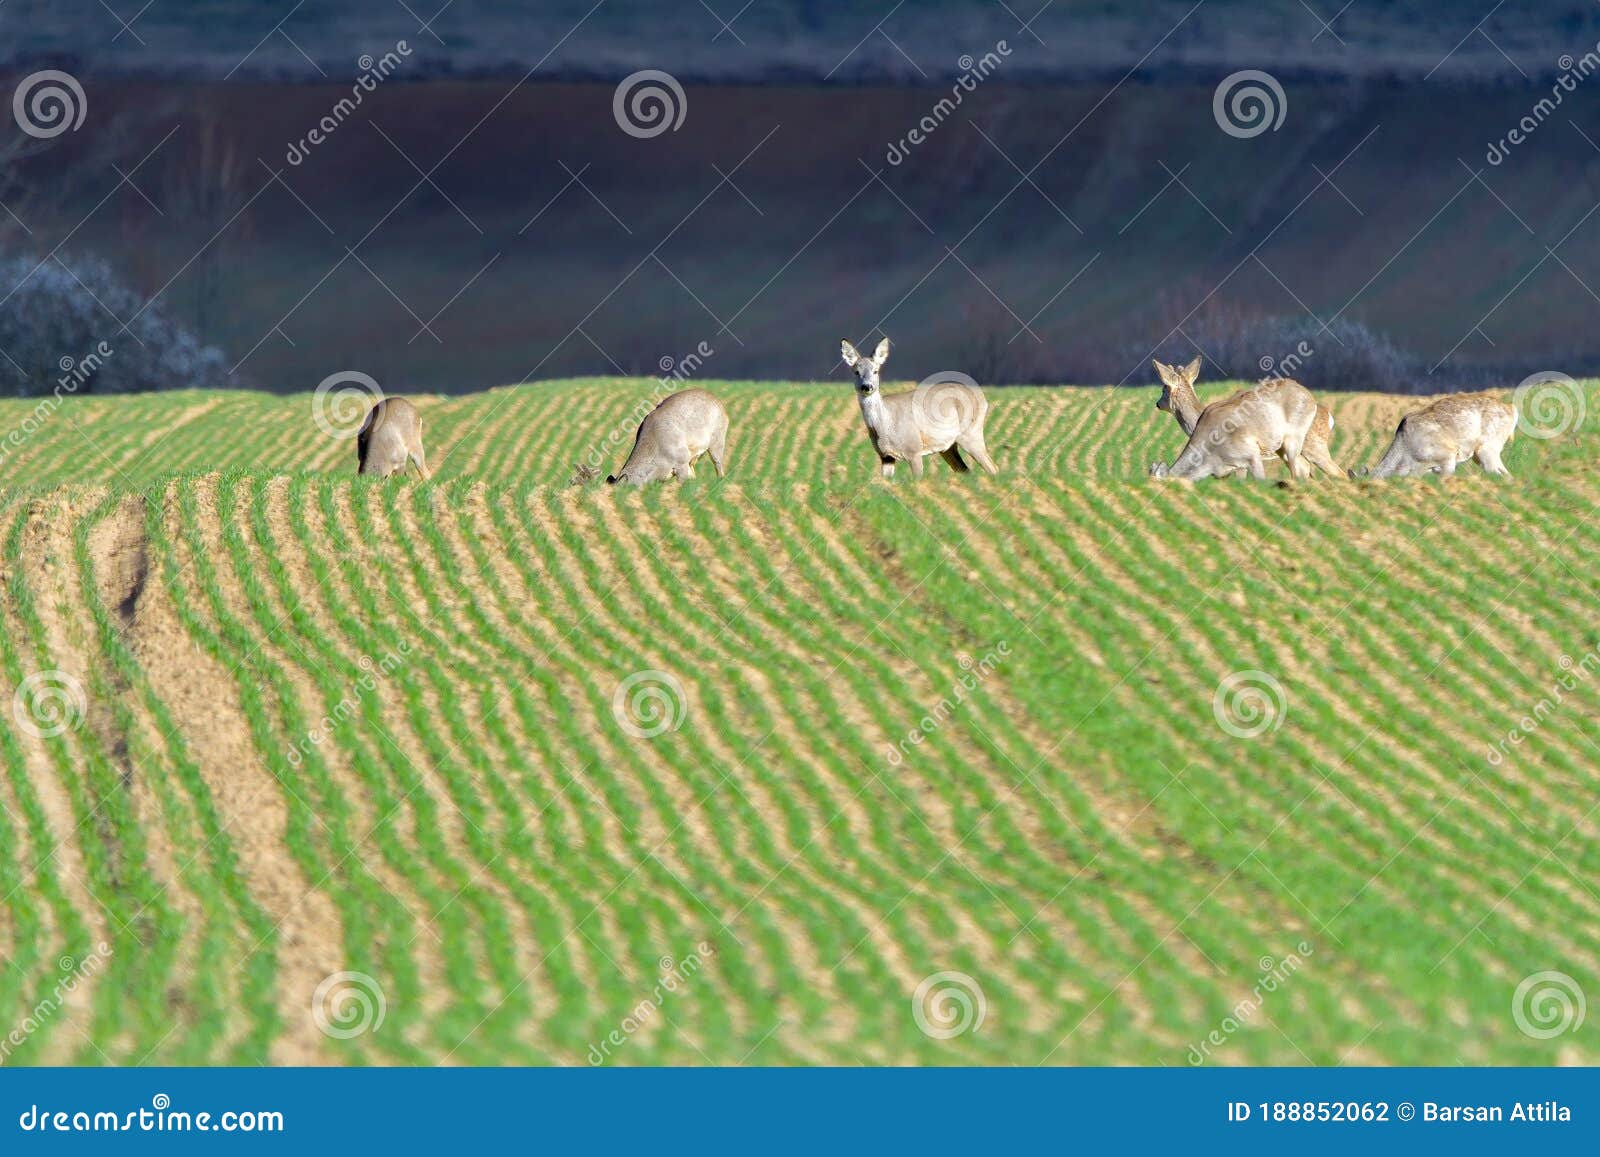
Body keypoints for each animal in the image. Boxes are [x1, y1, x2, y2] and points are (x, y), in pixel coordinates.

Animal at [840, 337, 998, 479]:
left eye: (876, 371)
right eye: (856, 372)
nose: (867, 386)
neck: (885, 426)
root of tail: (984, 399)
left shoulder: (914, 449)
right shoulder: (885, 456)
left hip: (971, 433)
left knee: (992, 468)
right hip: (948, 447)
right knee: (965, 470)